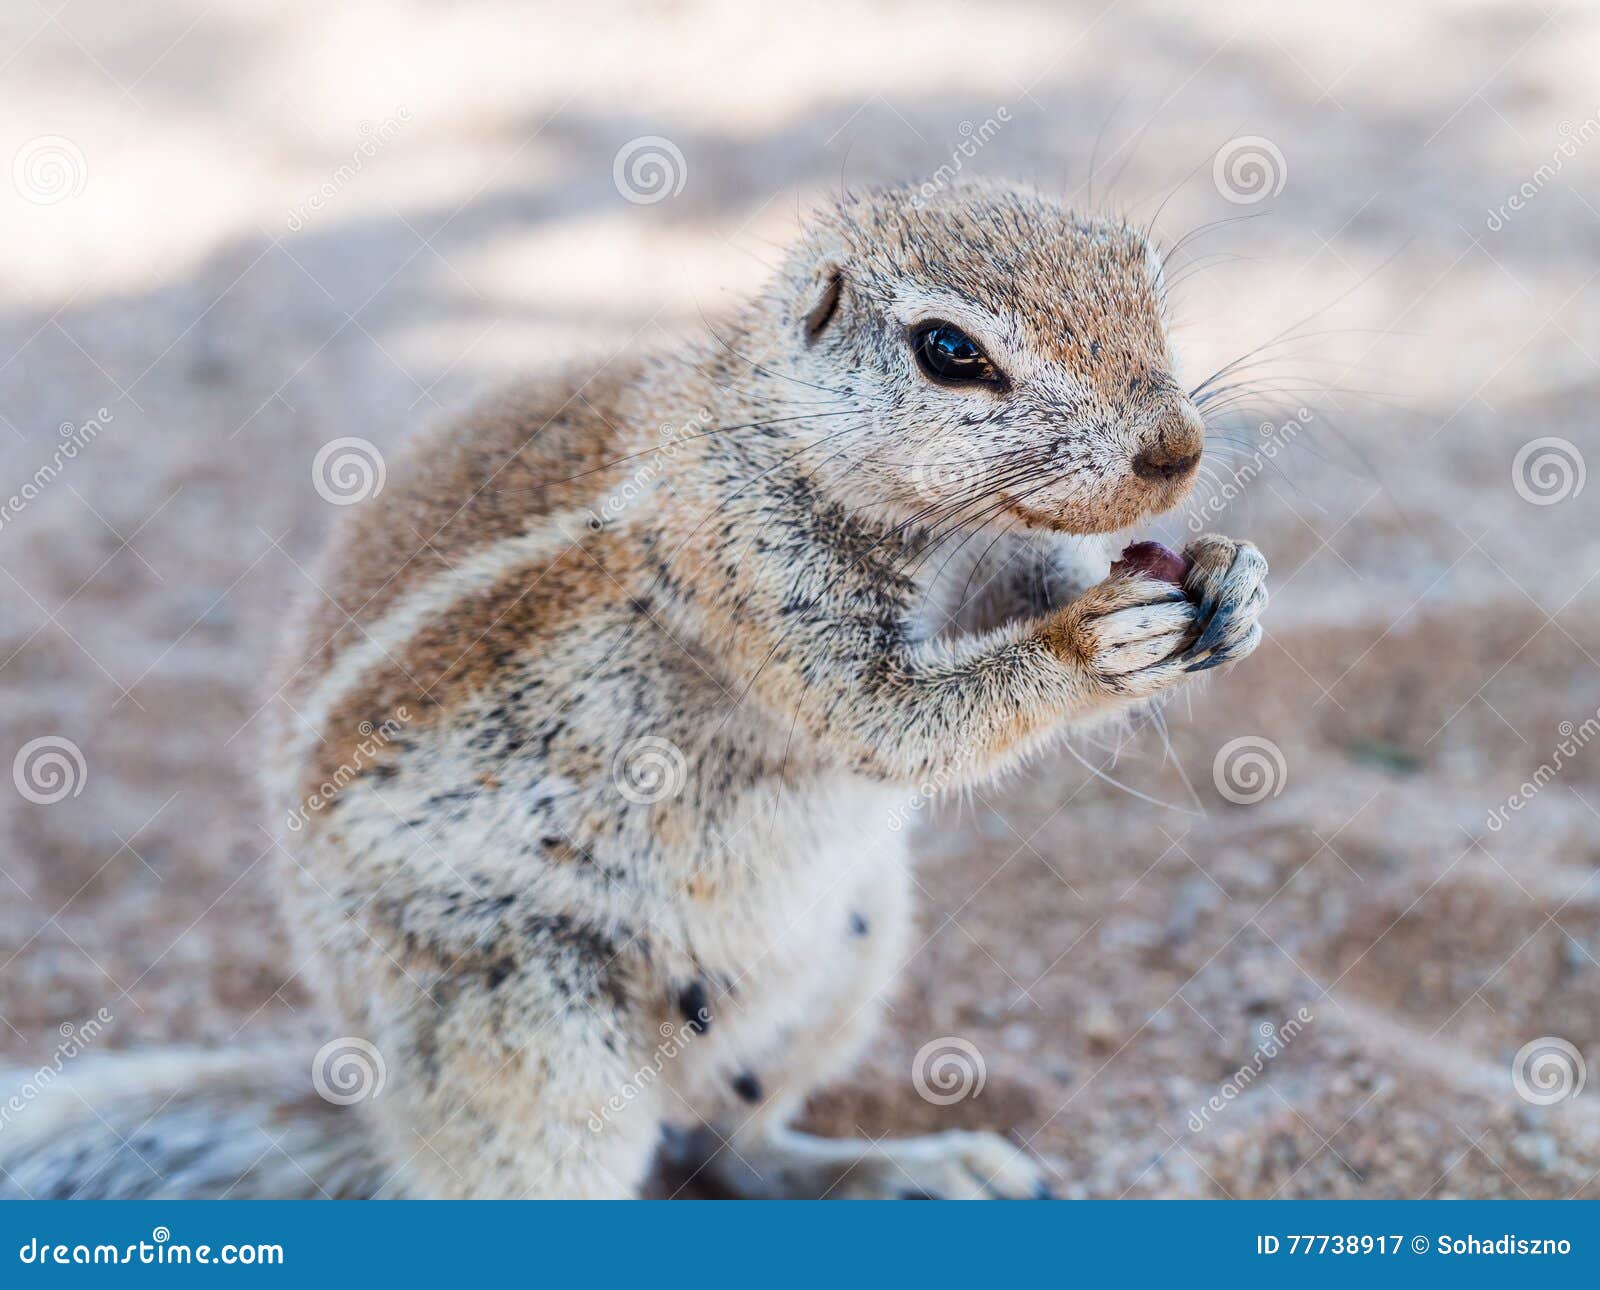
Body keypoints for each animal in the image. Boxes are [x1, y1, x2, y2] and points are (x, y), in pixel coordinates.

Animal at [0, 181, 1266, 1199]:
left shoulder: (1000, 559)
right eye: (948, 350)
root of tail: (376, 1106)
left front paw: (1233, 583)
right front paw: (1095, 642)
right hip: (526, 1033)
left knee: (728, 1146)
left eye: (1144, 277)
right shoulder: (748, 569)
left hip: (847, 953)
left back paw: (905, 1170)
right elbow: (889, 720)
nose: (1174, 451)